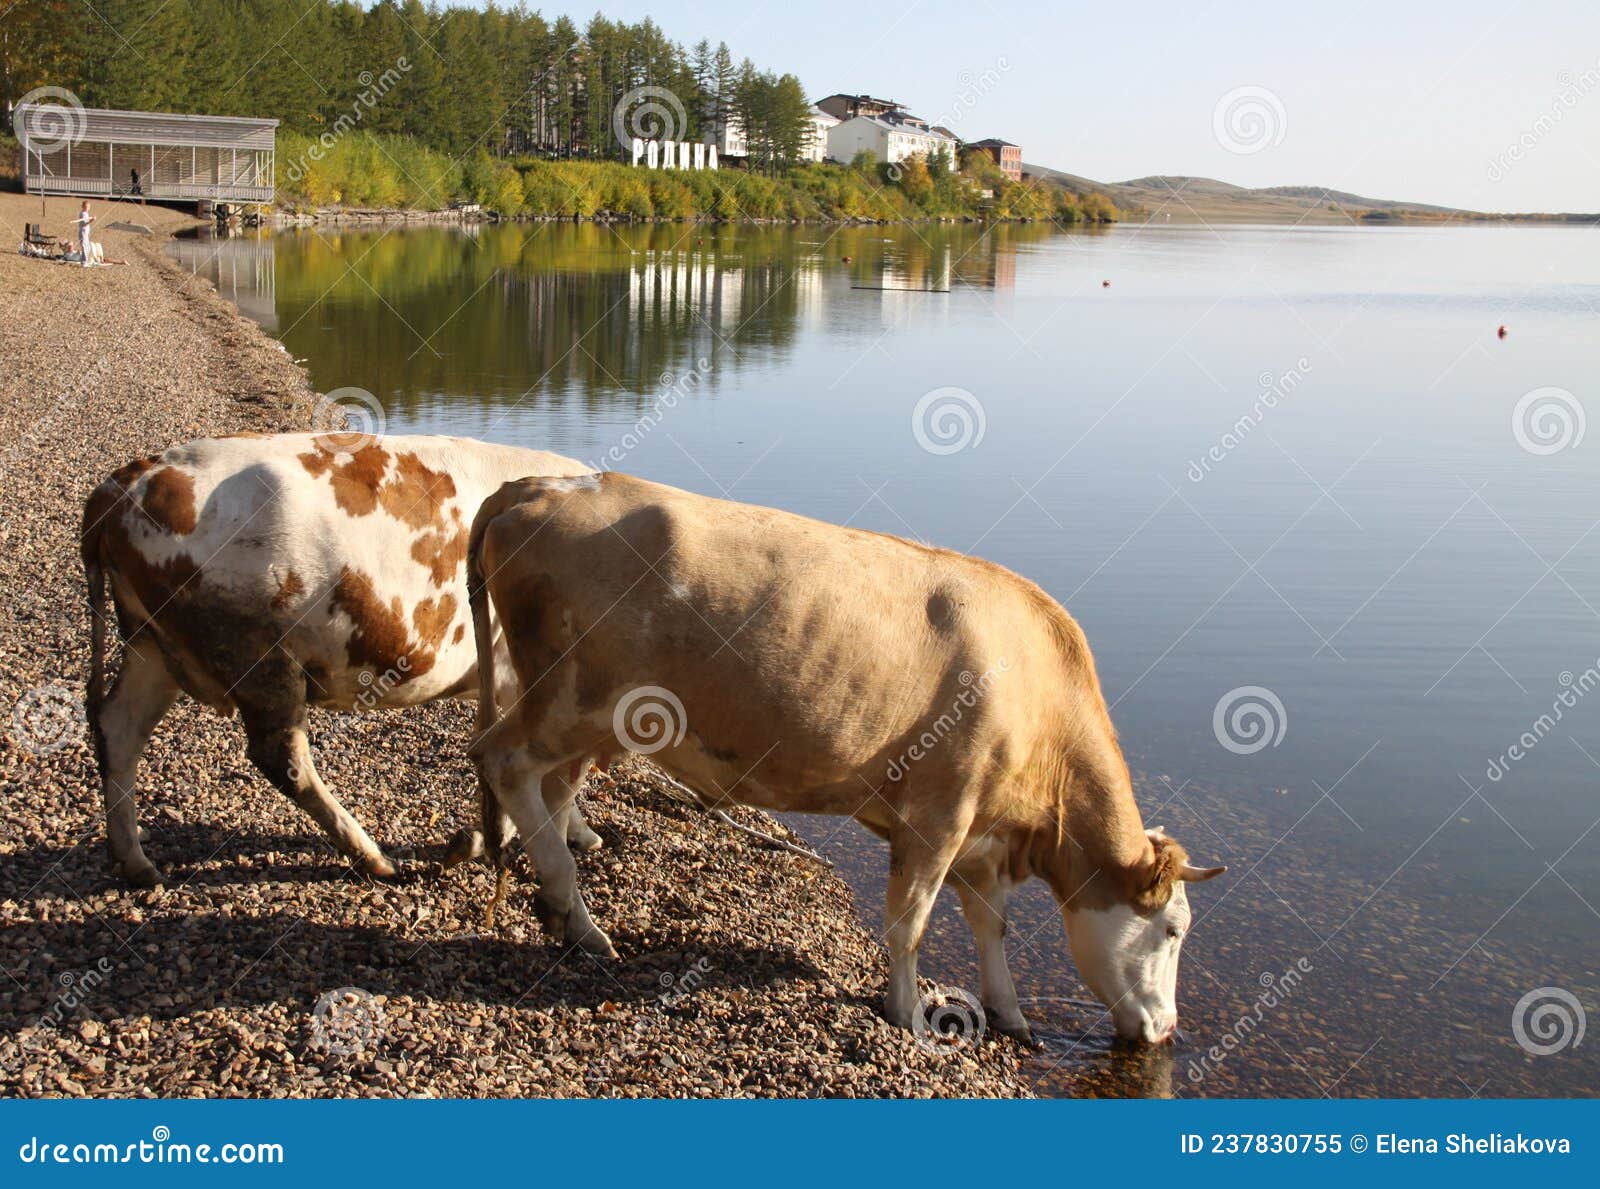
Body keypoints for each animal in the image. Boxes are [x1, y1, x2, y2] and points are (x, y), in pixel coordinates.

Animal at [80, 432, 603, 888]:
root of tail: (127, 481)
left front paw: (572, 832)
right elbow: (542, 771)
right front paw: (501, 838)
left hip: (151, 644)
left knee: (118, 729)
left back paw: (134, 861)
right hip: (258, 657)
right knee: (283, 759)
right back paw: (371, 855)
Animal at [466, 472, 1225, 1045]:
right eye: (1174, 929)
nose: (1167, 1028)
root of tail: (547, 483)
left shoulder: (983, 833)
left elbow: (992, 925)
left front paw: (1009, 1012)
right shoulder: (939, 812)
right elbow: (911, 920)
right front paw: (907, 1013)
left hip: (589, 720)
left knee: (552, 791)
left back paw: (564, 911)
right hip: (568, 699)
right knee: (503, 759)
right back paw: (576, 912)